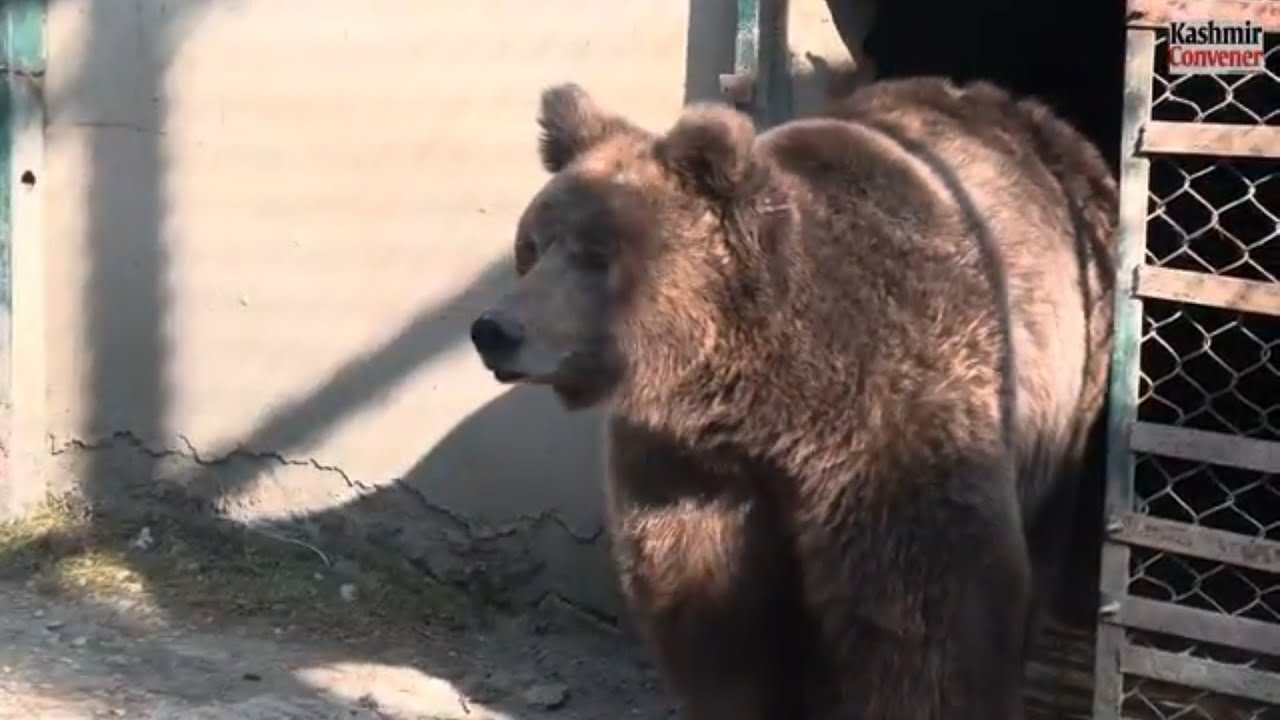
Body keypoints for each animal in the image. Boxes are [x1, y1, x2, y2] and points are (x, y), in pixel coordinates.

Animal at [469, 77, 1117, 720]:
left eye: (597, 253)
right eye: (532, 245)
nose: (493, 329)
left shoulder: (896, 414)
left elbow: (929, 610)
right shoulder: (689, 463)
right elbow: (711, 609)